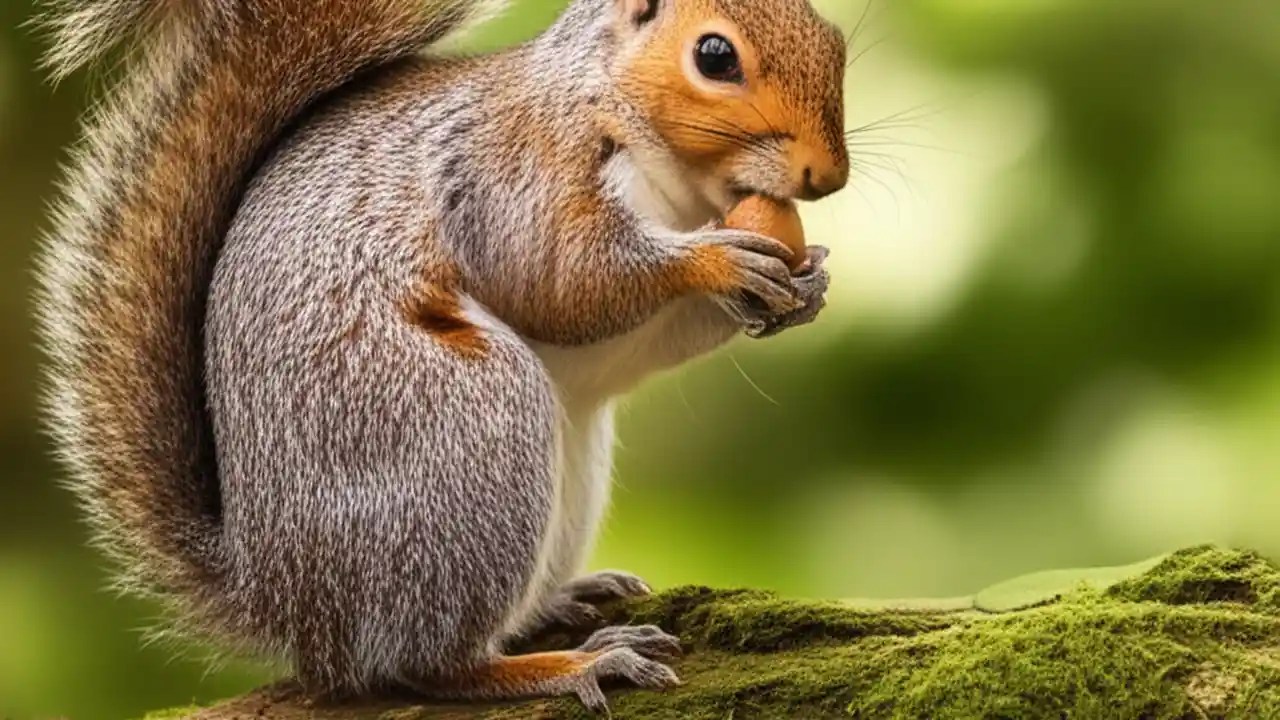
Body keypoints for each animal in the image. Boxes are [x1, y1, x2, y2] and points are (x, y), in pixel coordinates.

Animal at [34, 0, 849, 711]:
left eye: (835, 39)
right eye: (715, 55)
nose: (828, 176)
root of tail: (287, 605)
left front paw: (806, 284)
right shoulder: (514, 171)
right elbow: (562, 279)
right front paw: (716, 261)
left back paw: (564, 600)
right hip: (469, 431)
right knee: (425, 664)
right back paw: (568, 666)